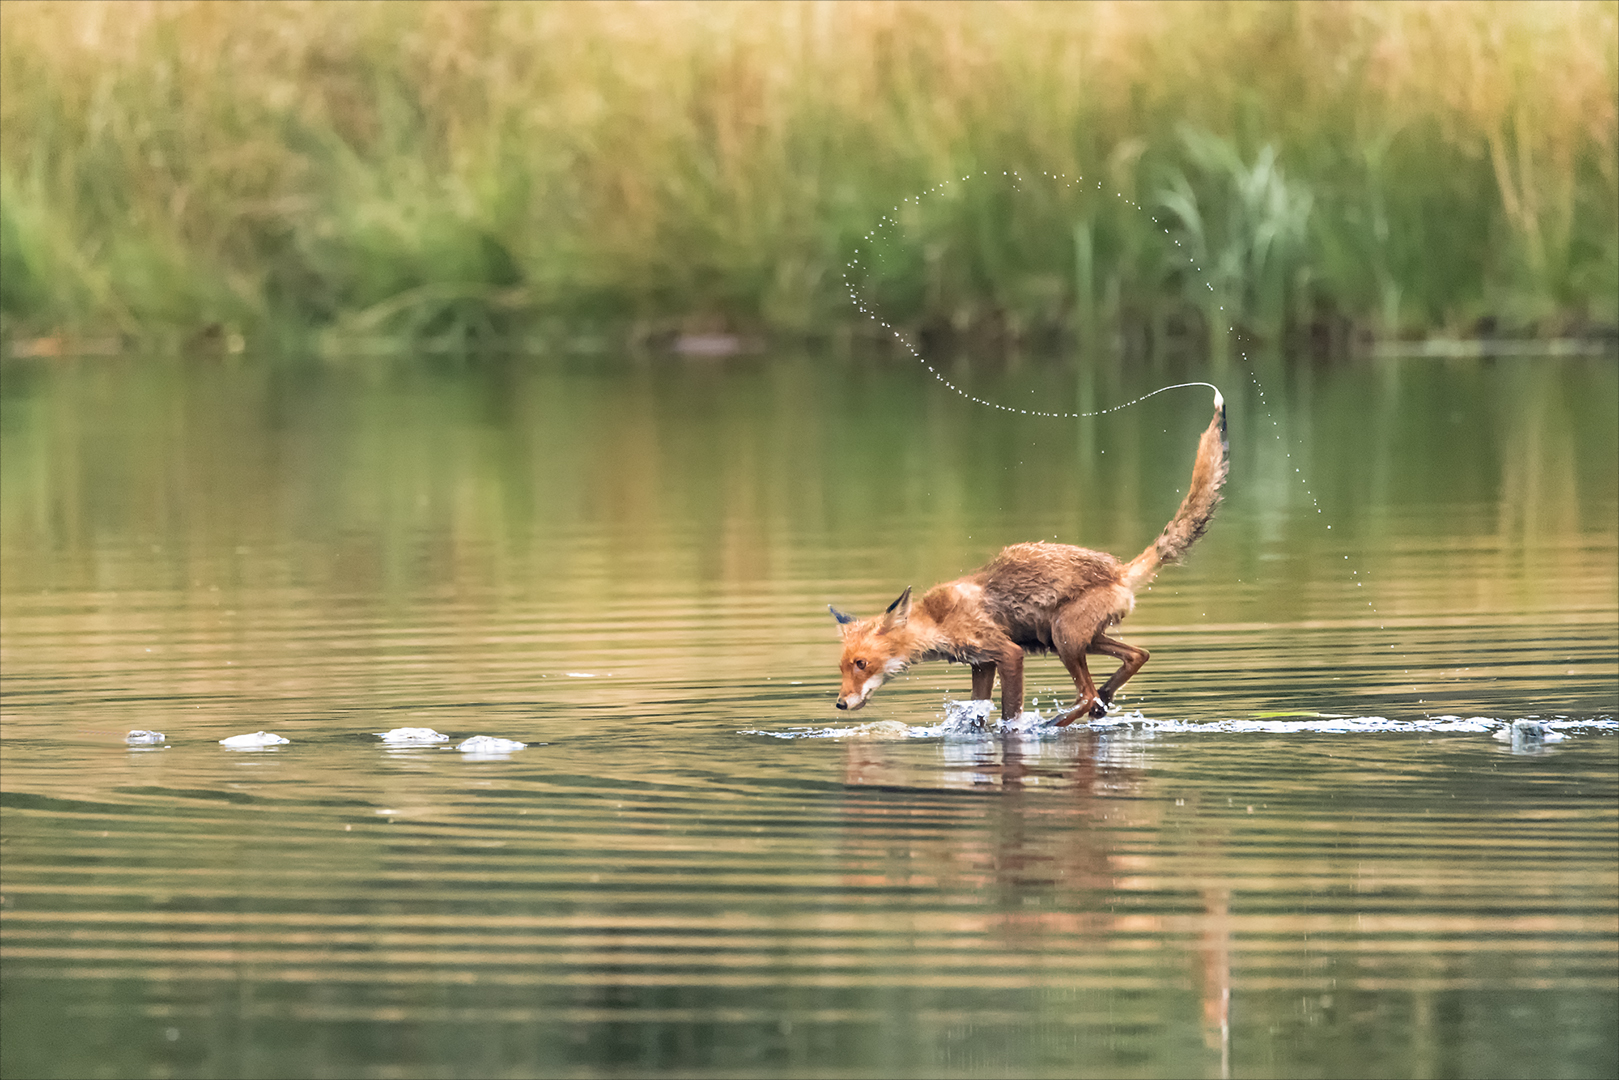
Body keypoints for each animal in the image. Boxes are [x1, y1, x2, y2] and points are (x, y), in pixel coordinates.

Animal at [829, 394, 1228, 726]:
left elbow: (1009, 713)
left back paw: (1056, 724)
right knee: (1136, 657)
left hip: (1065, 638)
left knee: (1086, 695)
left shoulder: (1007, 653)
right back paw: (1103, 703)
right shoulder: (981, 664)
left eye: (862, 664)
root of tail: (1118, 570)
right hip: (1075, 639)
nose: (840, 703)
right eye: (842, 667)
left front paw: (1013, 733)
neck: (938, 620)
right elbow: (978, 714)